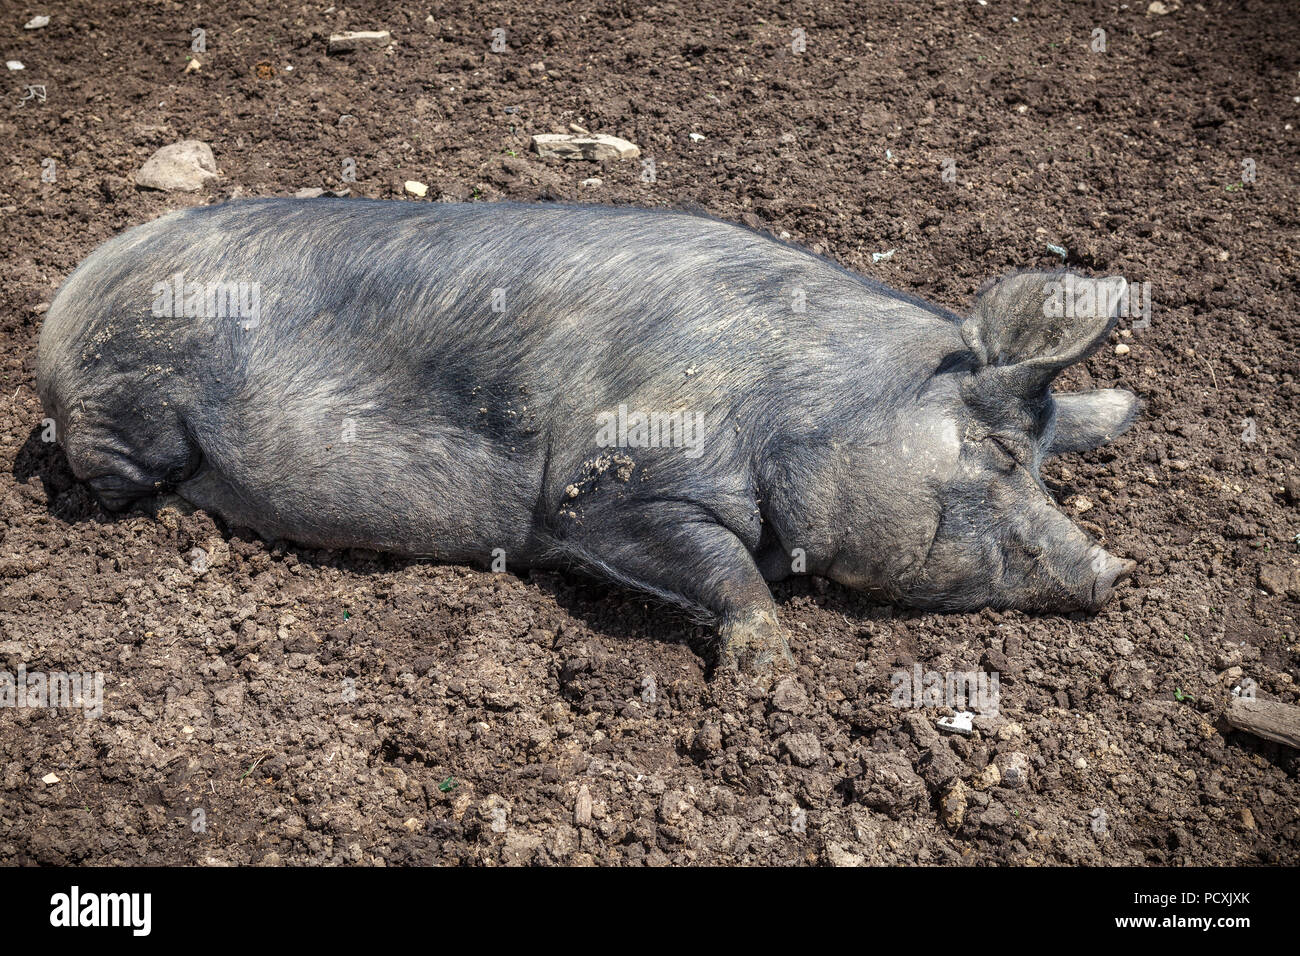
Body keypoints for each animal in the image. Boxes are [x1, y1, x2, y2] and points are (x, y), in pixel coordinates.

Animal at [36, 199, 1139, 674]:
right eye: (995, 455)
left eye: (1049, 461)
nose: (1115, 572)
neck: (801, 400)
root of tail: (69, 293)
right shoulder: (604, 486)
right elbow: (725, 572)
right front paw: (765, 672)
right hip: (132, 407)